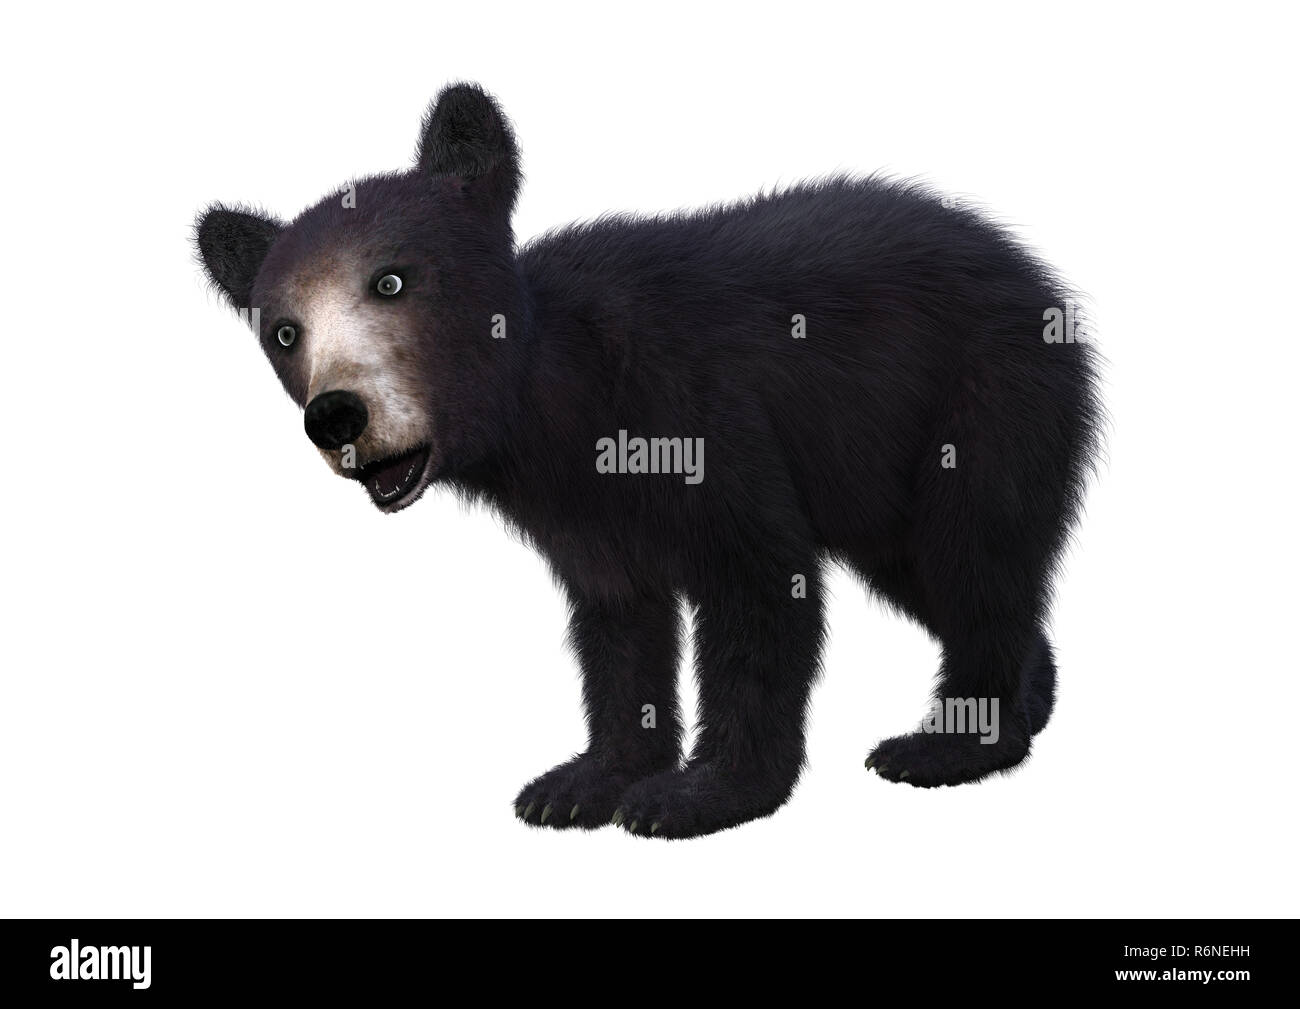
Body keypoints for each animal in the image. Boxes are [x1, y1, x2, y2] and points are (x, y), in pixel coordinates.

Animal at [195, 82, 1101, 839]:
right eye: (285, 330)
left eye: (391, 280)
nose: (336, 415)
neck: (553, 407)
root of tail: (1036, 277)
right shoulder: (575, 507)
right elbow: (618, 615)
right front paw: (581, 782)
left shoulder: (688, 404)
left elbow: (757, 581)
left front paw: (699, 793)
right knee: (939, 572)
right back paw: (1028, 694)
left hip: (981, 399)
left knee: (972, 555)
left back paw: (950, 744)